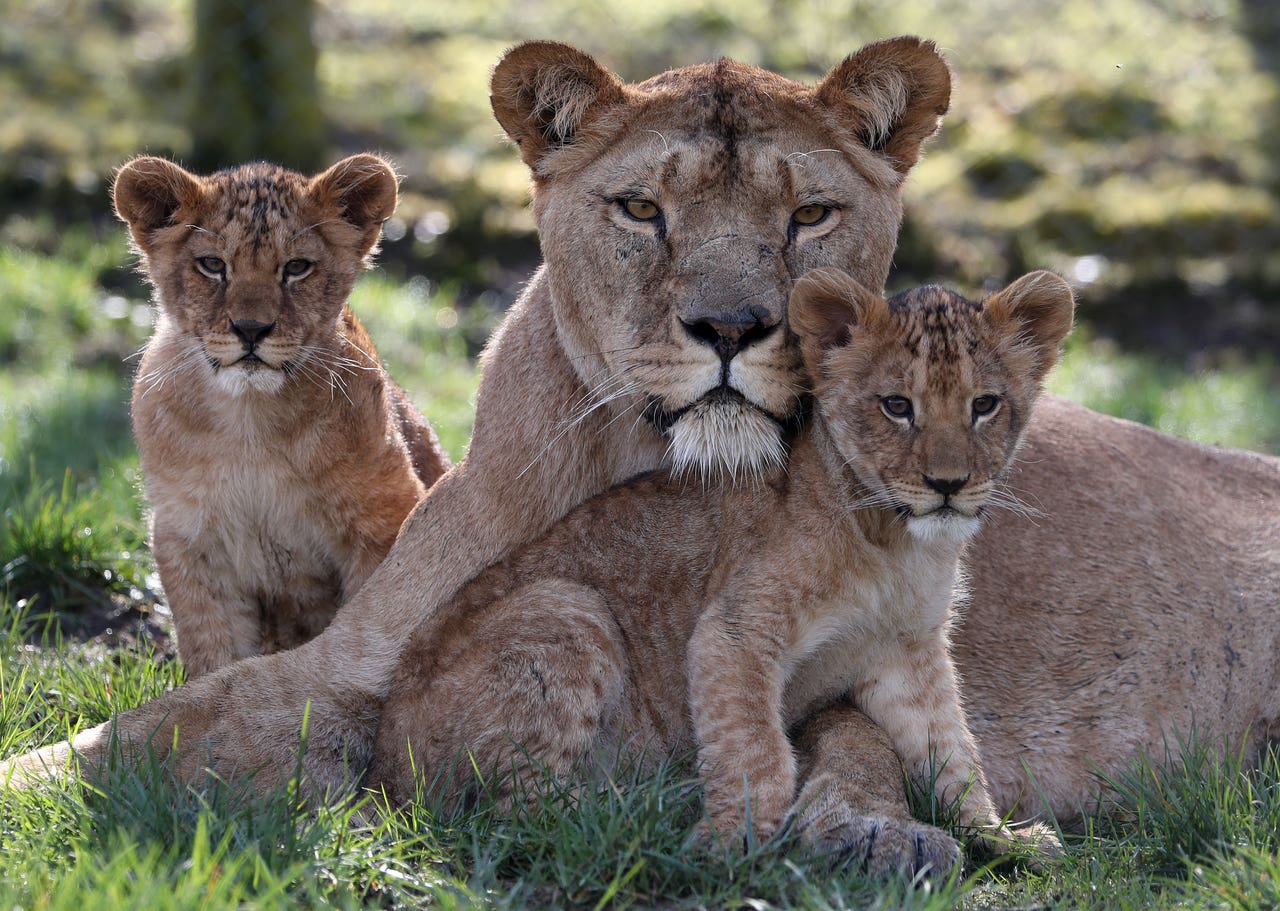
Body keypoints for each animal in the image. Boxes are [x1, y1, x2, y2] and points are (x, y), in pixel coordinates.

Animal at [116, 154, 449, 676]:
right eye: (213, 265)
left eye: (296, 268)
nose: (251, 329)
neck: (251, 421)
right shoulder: (190, 538)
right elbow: (214, 652)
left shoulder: (384, 519)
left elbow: (368, 629)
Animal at [368, 267, 1074, 862]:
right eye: (897, 406)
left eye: (985, 405)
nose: (948, 485)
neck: (895, 541)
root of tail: (384, 771)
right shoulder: (734, 633)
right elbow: (755, 750)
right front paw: (731, 844)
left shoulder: (908, 650)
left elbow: (951, 749)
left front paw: (1000, 836)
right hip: (566, 605)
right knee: (523, 818)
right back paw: (646, 815)